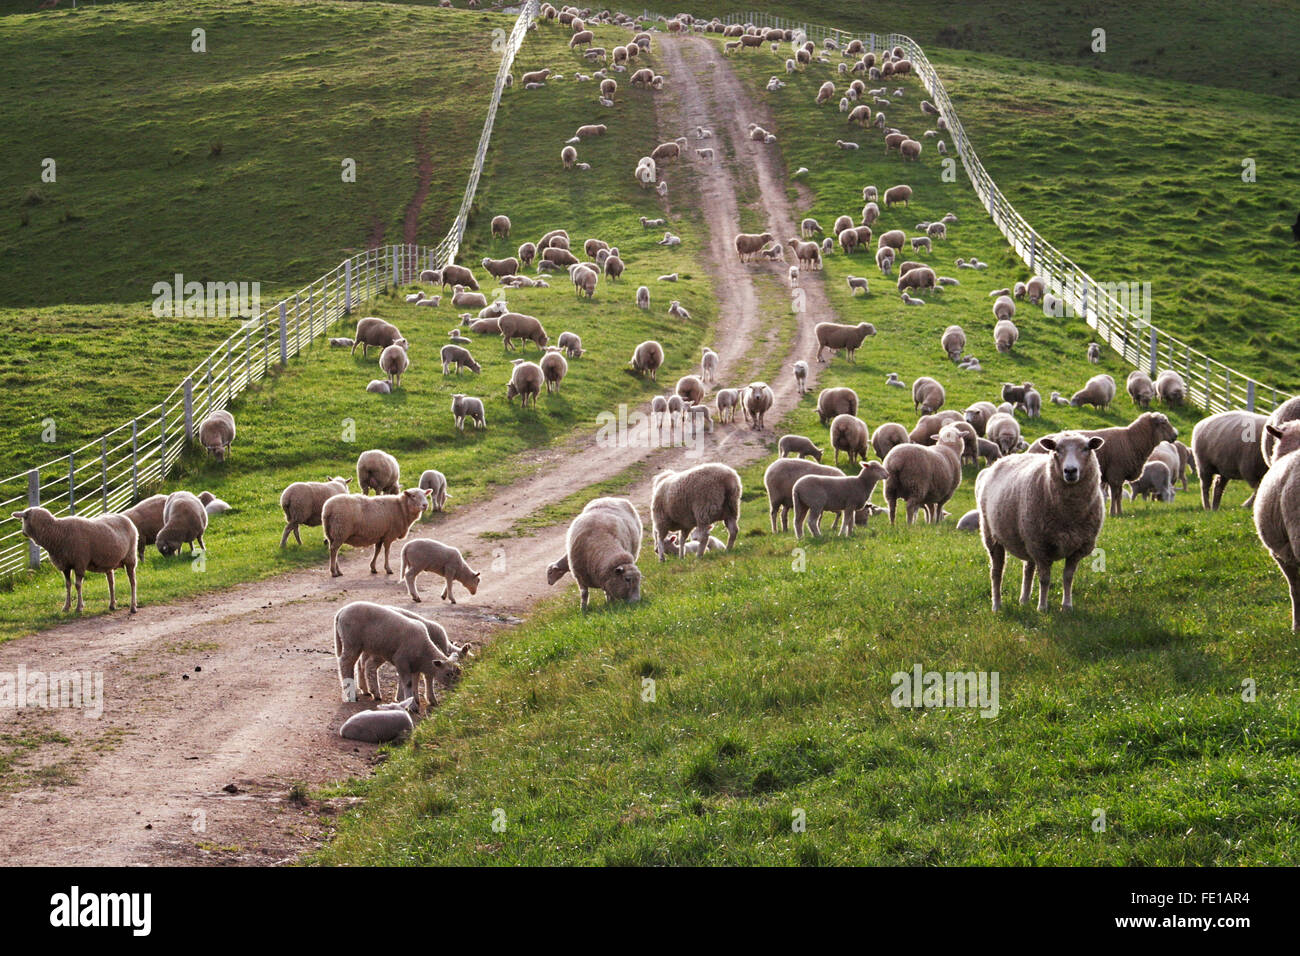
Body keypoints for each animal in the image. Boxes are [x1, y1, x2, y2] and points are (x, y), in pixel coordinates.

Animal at [976, 431, 1106, 612]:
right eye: (1056, 450)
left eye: (1086, 448)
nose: (1070, 470)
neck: (1070, 514)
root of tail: (1002, 459)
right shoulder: (1041, 547)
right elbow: (1045, 579)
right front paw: (1042, 607)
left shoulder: (1077, 548)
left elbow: (1068, 577)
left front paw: (1067, 606)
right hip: (993, 535)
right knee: (996, 572)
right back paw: (997, 605)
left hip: (1027, 537)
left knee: (1027, 568)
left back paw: (1024, 600)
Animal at [1029, 412, 1179, 517]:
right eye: (1163, 423)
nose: (1175, 436)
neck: (1132, 440)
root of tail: (1032, 446)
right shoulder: (1115, 474)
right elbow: (1114, 495)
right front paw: (1113, 513)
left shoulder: (1119, 476)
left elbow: (1119, 495)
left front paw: (1120, 512)